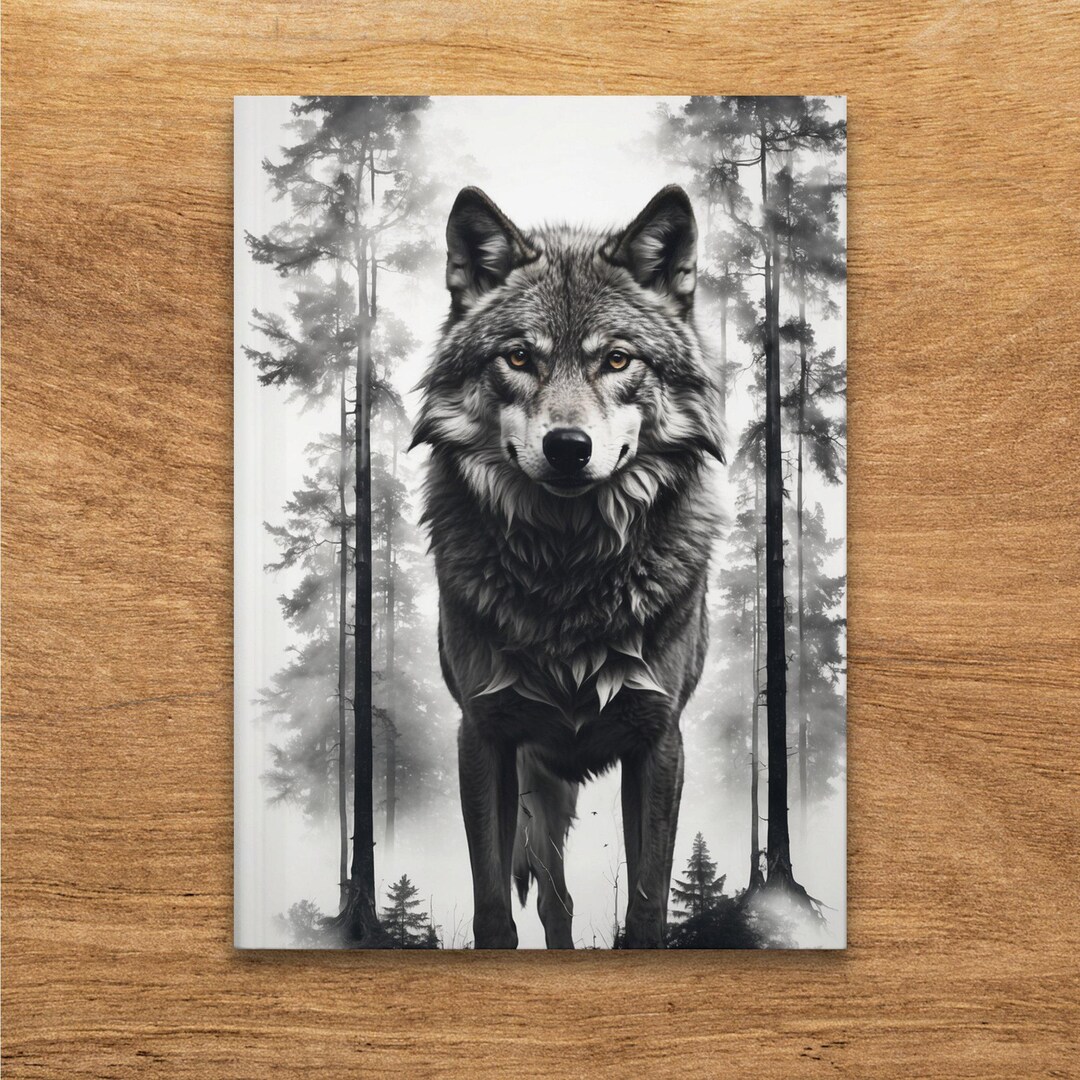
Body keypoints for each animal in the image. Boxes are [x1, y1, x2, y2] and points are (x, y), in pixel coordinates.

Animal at [411, 185, 724, 948]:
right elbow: (493, 908)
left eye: (617, 360)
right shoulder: (484, 736)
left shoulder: (659, 741)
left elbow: (647, 902)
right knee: (556, 899)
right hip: (539, 792)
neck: (568, 571)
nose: (567, 447)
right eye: (520, 357)